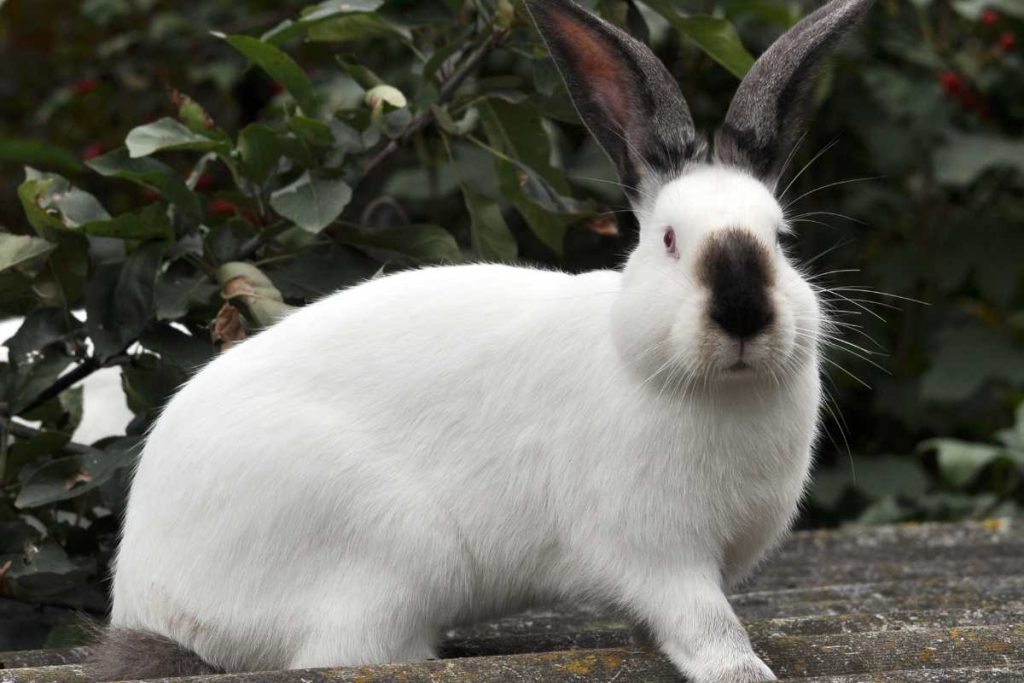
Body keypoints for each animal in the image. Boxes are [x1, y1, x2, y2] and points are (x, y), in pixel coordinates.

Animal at [93, 0, 874, 681]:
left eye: (783, 239)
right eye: (669, 240)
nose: (743, 315)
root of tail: (150, 602)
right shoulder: (662, 553)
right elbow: (708, 626)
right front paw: (745, 671)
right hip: (392, 555)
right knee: (339, 652)